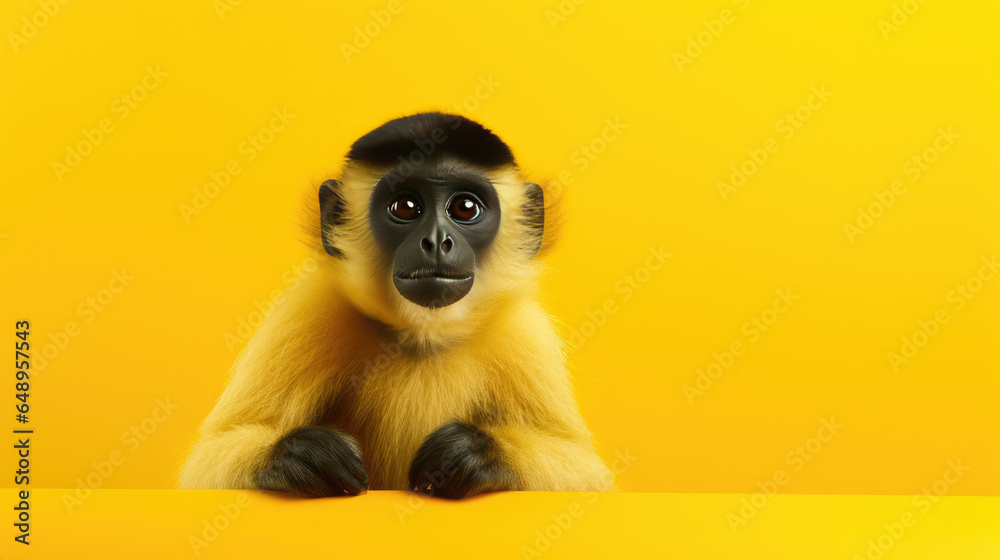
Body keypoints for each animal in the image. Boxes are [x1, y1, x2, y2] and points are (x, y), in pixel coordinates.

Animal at [180, 112, 613, 499]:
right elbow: (207, 462)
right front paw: (302, 455)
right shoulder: (307, 312)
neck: (423, 336)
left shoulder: (524, 335)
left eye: (465, 208)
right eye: (405, 207)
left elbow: (584, 469)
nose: (437, 242)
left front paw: (474, 454)